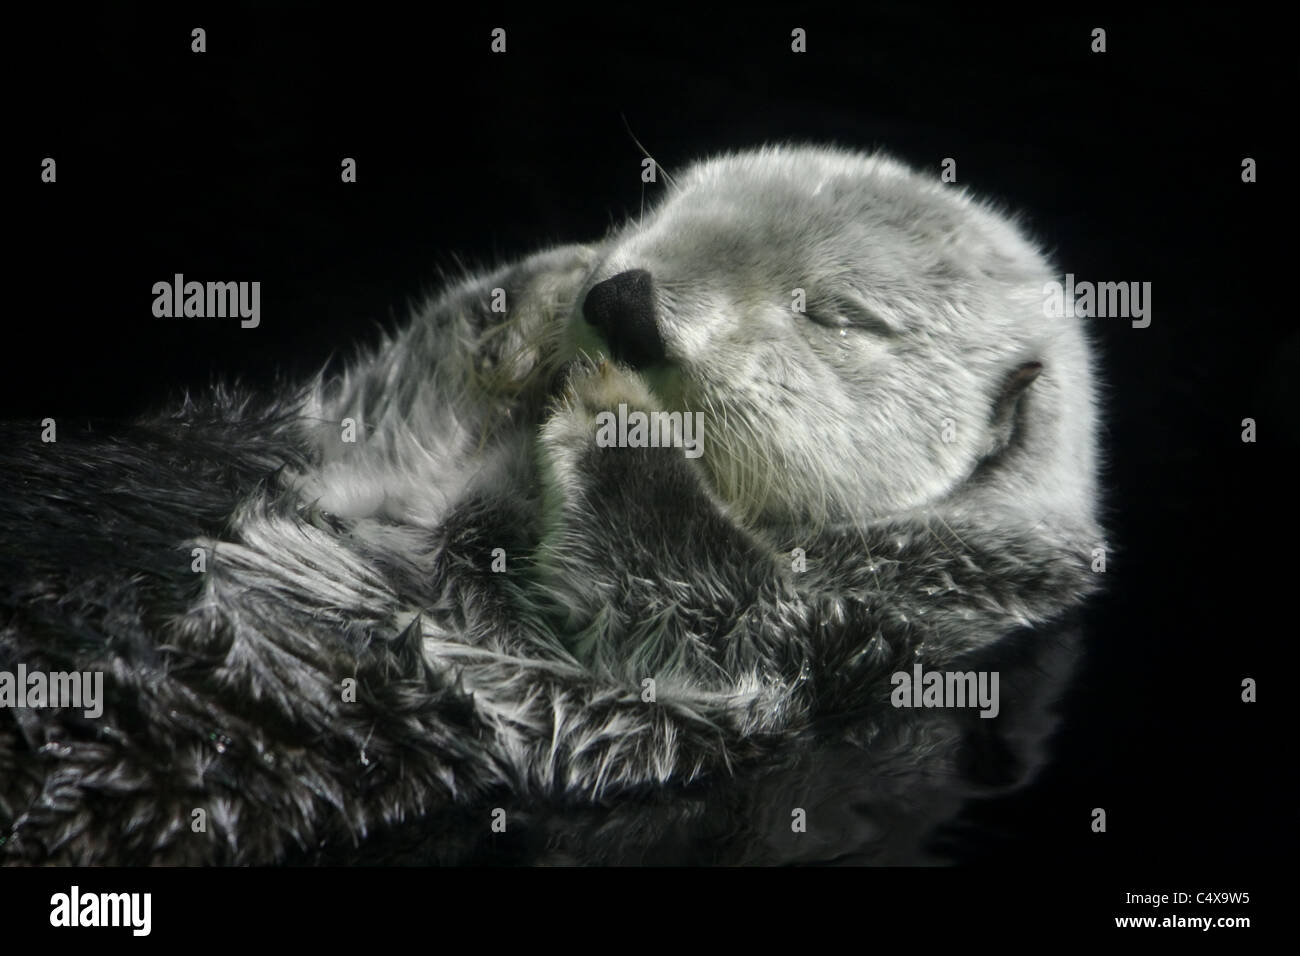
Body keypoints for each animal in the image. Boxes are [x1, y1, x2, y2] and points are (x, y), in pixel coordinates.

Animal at [0, 146, 1102, 864]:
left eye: (838, 316)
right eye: (668, 208)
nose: (626, 299)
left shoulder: (848, 632)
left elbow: (681, 612)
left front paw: (619, 419)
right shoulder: (359, 452)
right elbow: (388, 403)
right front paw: (544, 287)